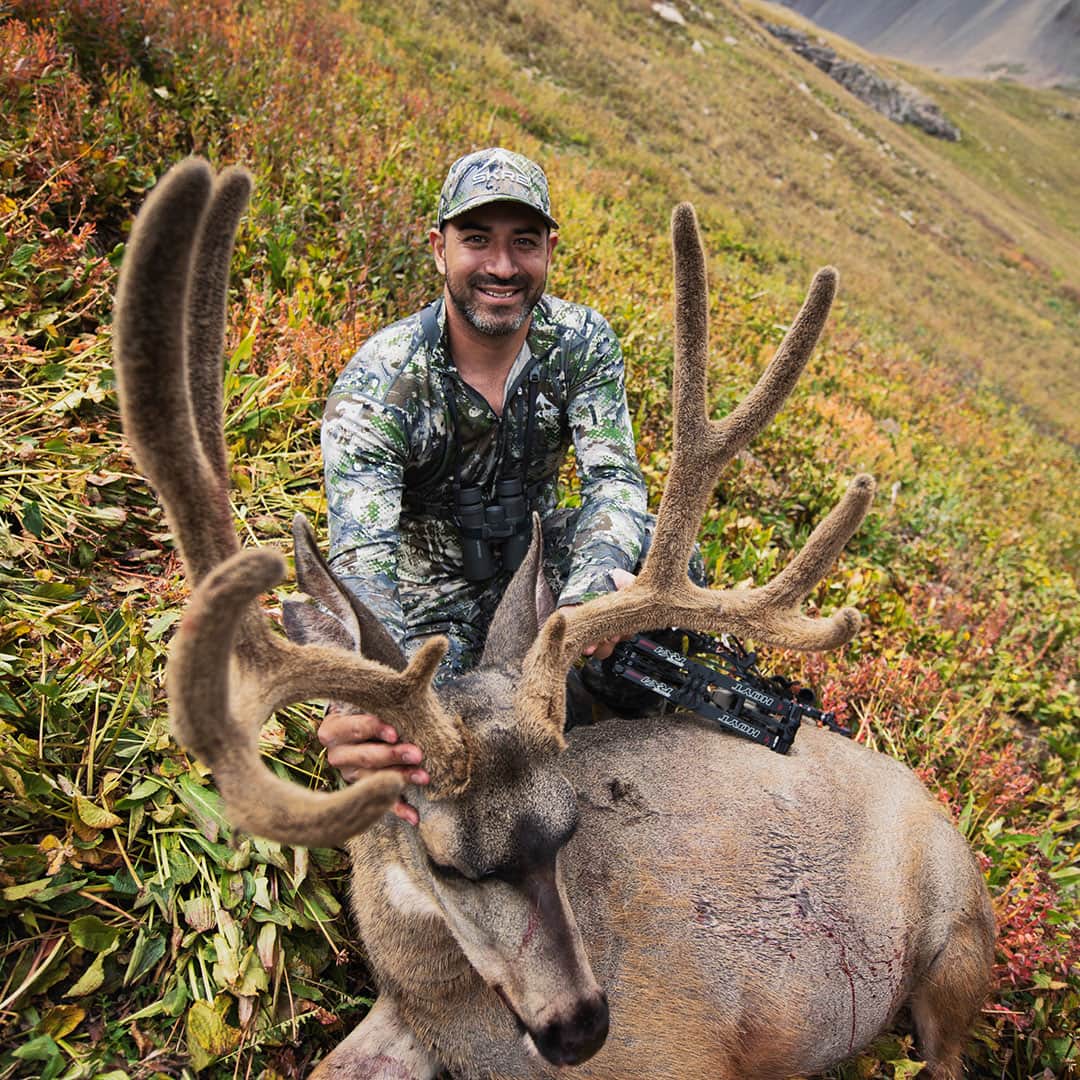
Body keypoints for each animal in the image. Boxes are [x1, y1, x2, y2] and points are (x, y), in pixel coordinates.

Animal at [113, 157, 995, 1079]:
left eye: (569, 828)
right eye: (447, 863)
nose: (580, 1027)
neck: (450, 1007)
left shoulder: (689, 1053)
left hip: (958, 947)